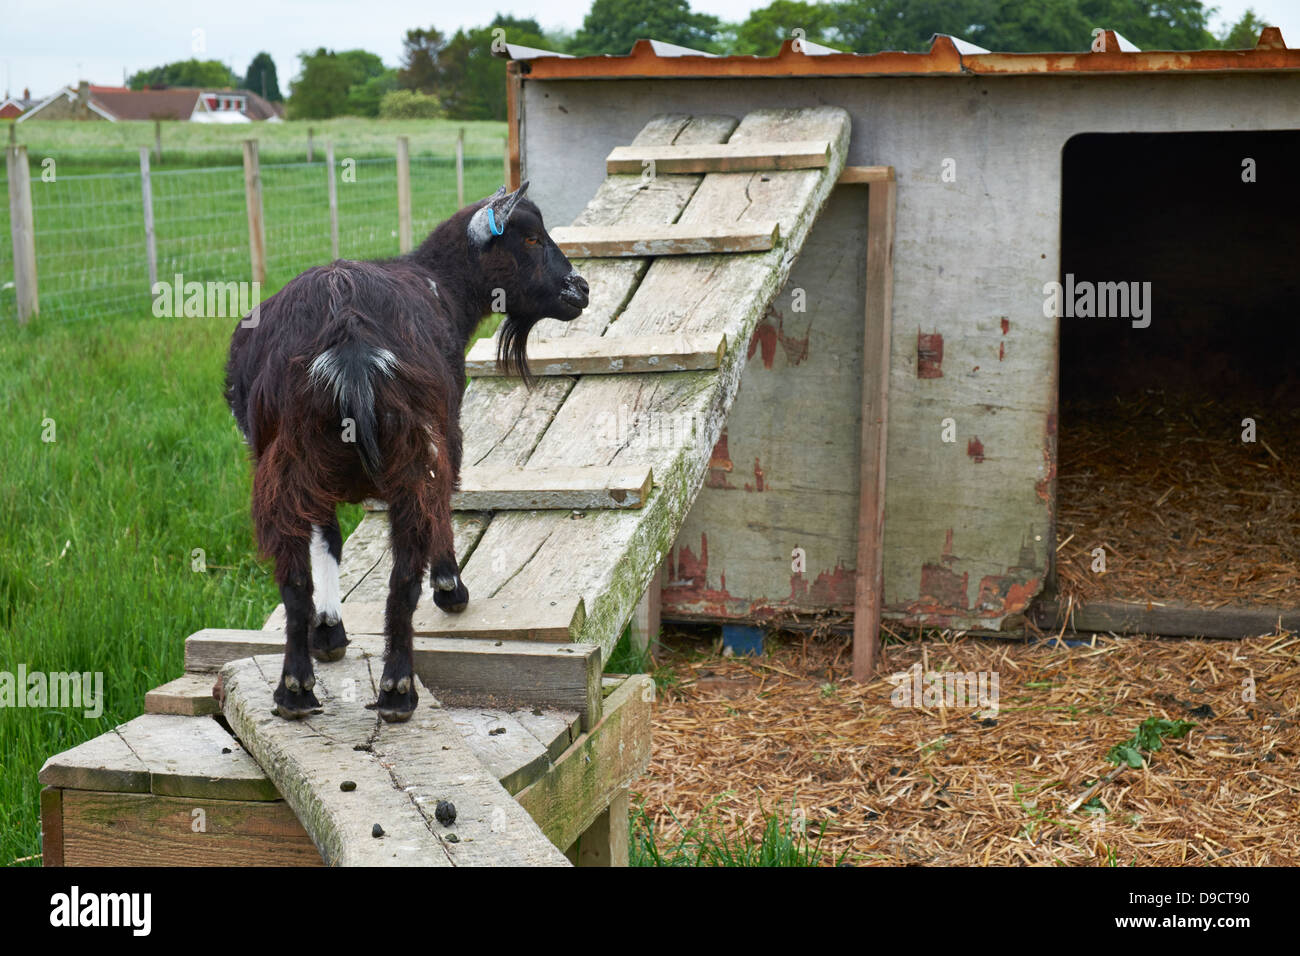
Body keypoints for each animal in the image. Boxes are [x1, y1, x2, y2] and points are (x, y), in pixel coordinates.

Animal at [225, 182, 588, 721]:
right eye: (529, 238)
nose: (580, 290)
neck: (442, 286)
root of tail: (348, 336)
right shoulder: (448, 433)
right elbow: (448, 504)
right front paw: (451, 586)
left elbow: (328, 540)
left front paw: (329, 631)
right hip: (413, 456)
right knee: (403, 576)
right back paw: (398, 687)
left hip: (284, 463)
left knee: (293, 577)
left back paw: (295, 688)